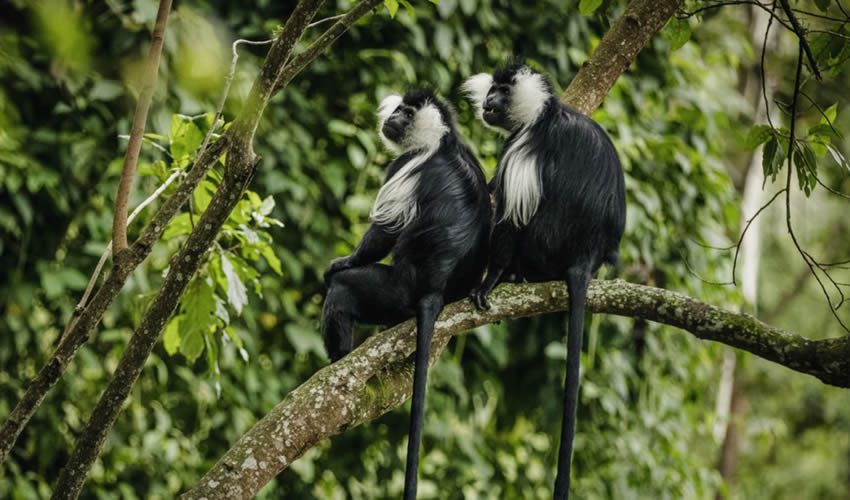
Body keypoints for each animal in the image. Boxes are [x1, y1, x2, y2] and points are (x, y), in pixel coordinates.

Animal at [322, 89, 491, 499]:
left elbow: (383, 232)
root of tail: (433, 289)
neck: (441, 140)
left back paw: (338, 357)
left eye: (407, 113)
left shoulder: (404, 165)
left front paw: (343, 261)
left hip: (391, 290)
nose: (393, 117)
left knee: (343, 291)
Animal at [462, 63, 626, 499]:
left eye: (502, 92)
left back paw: (511, 274)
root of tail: (585, 256)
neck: (542, 114)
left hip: (543, 246)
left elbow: (510, 216)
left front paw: (489, 280)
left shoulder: (523, 147)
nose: (488, 102)